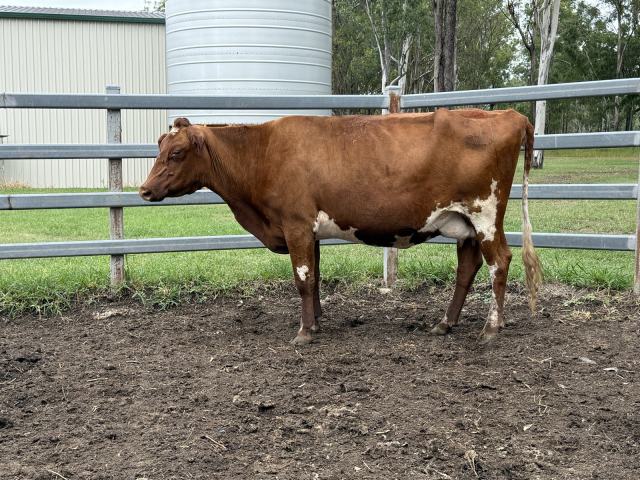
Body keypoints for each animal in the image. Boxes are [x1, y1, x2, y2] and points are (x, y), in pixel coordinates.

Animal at [139, 109, 542, 345]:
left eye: (176, 153)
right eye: (159, 147)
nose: (143, 190)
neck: (262, 153)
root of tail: (507, 112)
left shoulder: (296, 224)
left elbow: (302, 278)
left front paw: (304, 333)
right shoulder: (308, 231)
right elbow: (315, 277)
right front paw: (317, 321)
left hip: (485, 214)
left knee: (500, 263)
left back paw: (491, 329)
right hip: (466, 223)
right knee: (467, 269)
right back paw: (445, 323)